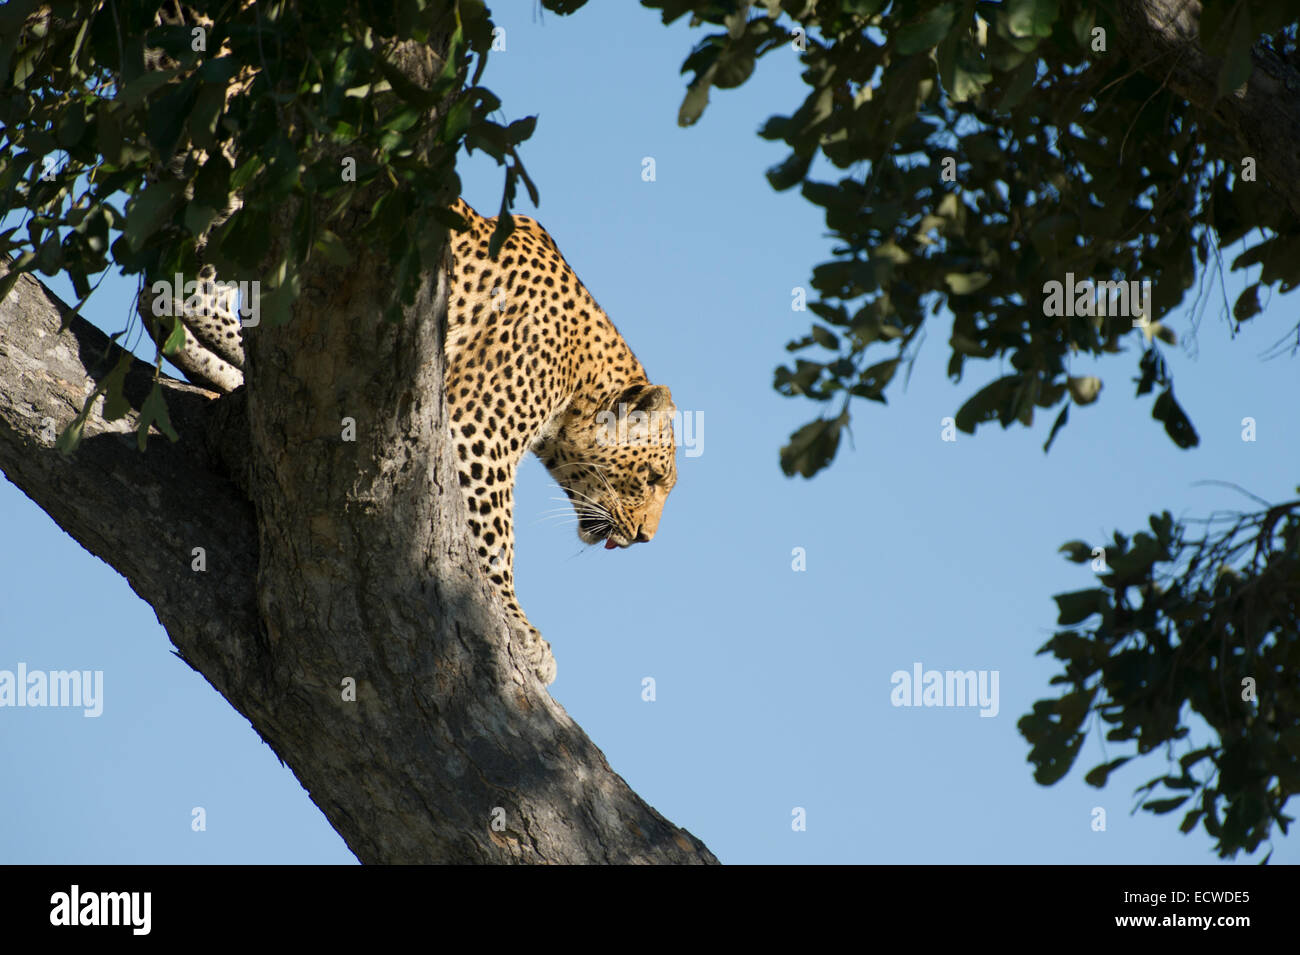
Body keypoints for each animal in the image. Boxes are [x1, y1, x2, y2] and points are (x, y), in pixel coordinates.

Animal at [152, 196, 679, 684]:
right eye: (653, 478)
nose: (645, 538)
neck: (582, 375)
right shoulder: (477, 433)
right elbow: (497, 539)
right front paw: (522, 630)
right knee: (181, 298)